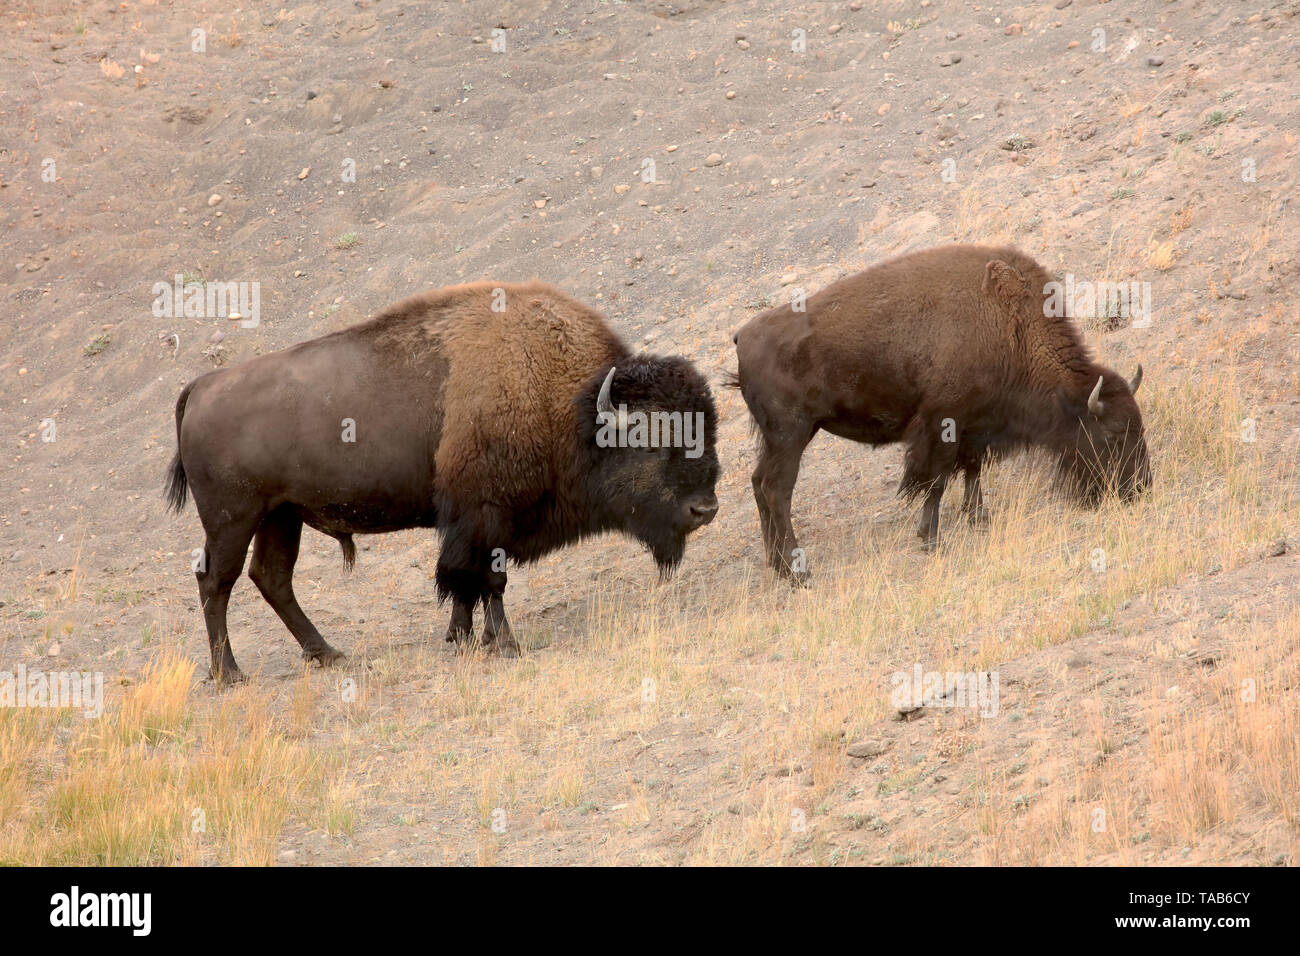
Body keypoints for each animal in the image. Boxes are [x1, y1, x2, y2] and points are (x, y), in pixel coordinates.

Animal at [166, 281, 719, 683]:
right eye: (653, 441)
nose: (705, 509)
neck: (569, 404)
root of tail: (200, 388)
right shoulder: (485, 517)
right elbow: (485, 580)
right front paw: (505, 644)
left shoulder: (472, 524)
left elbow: (464, 584)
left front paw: (464, 638)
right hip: (233, 519)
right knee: (216, 582)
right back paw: (230, 674)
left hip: (281, 517)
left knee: (272, 578)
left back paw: (327, 654)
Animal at [729, 243, 1150, 579]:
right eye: (1112, 434)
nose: (1139, 488)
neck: (1010, 327)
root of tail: (742, 337)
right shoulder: (941, 426)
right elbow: (936, 480)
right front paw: (931, 539)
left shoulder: (976, 426)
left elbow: (971, 469)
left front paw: (978, 517)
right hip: (792, 434)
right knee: (777, 490)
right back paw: (797, 571)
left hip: (780, 437)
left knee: (759, 483)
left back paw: (776, 565)